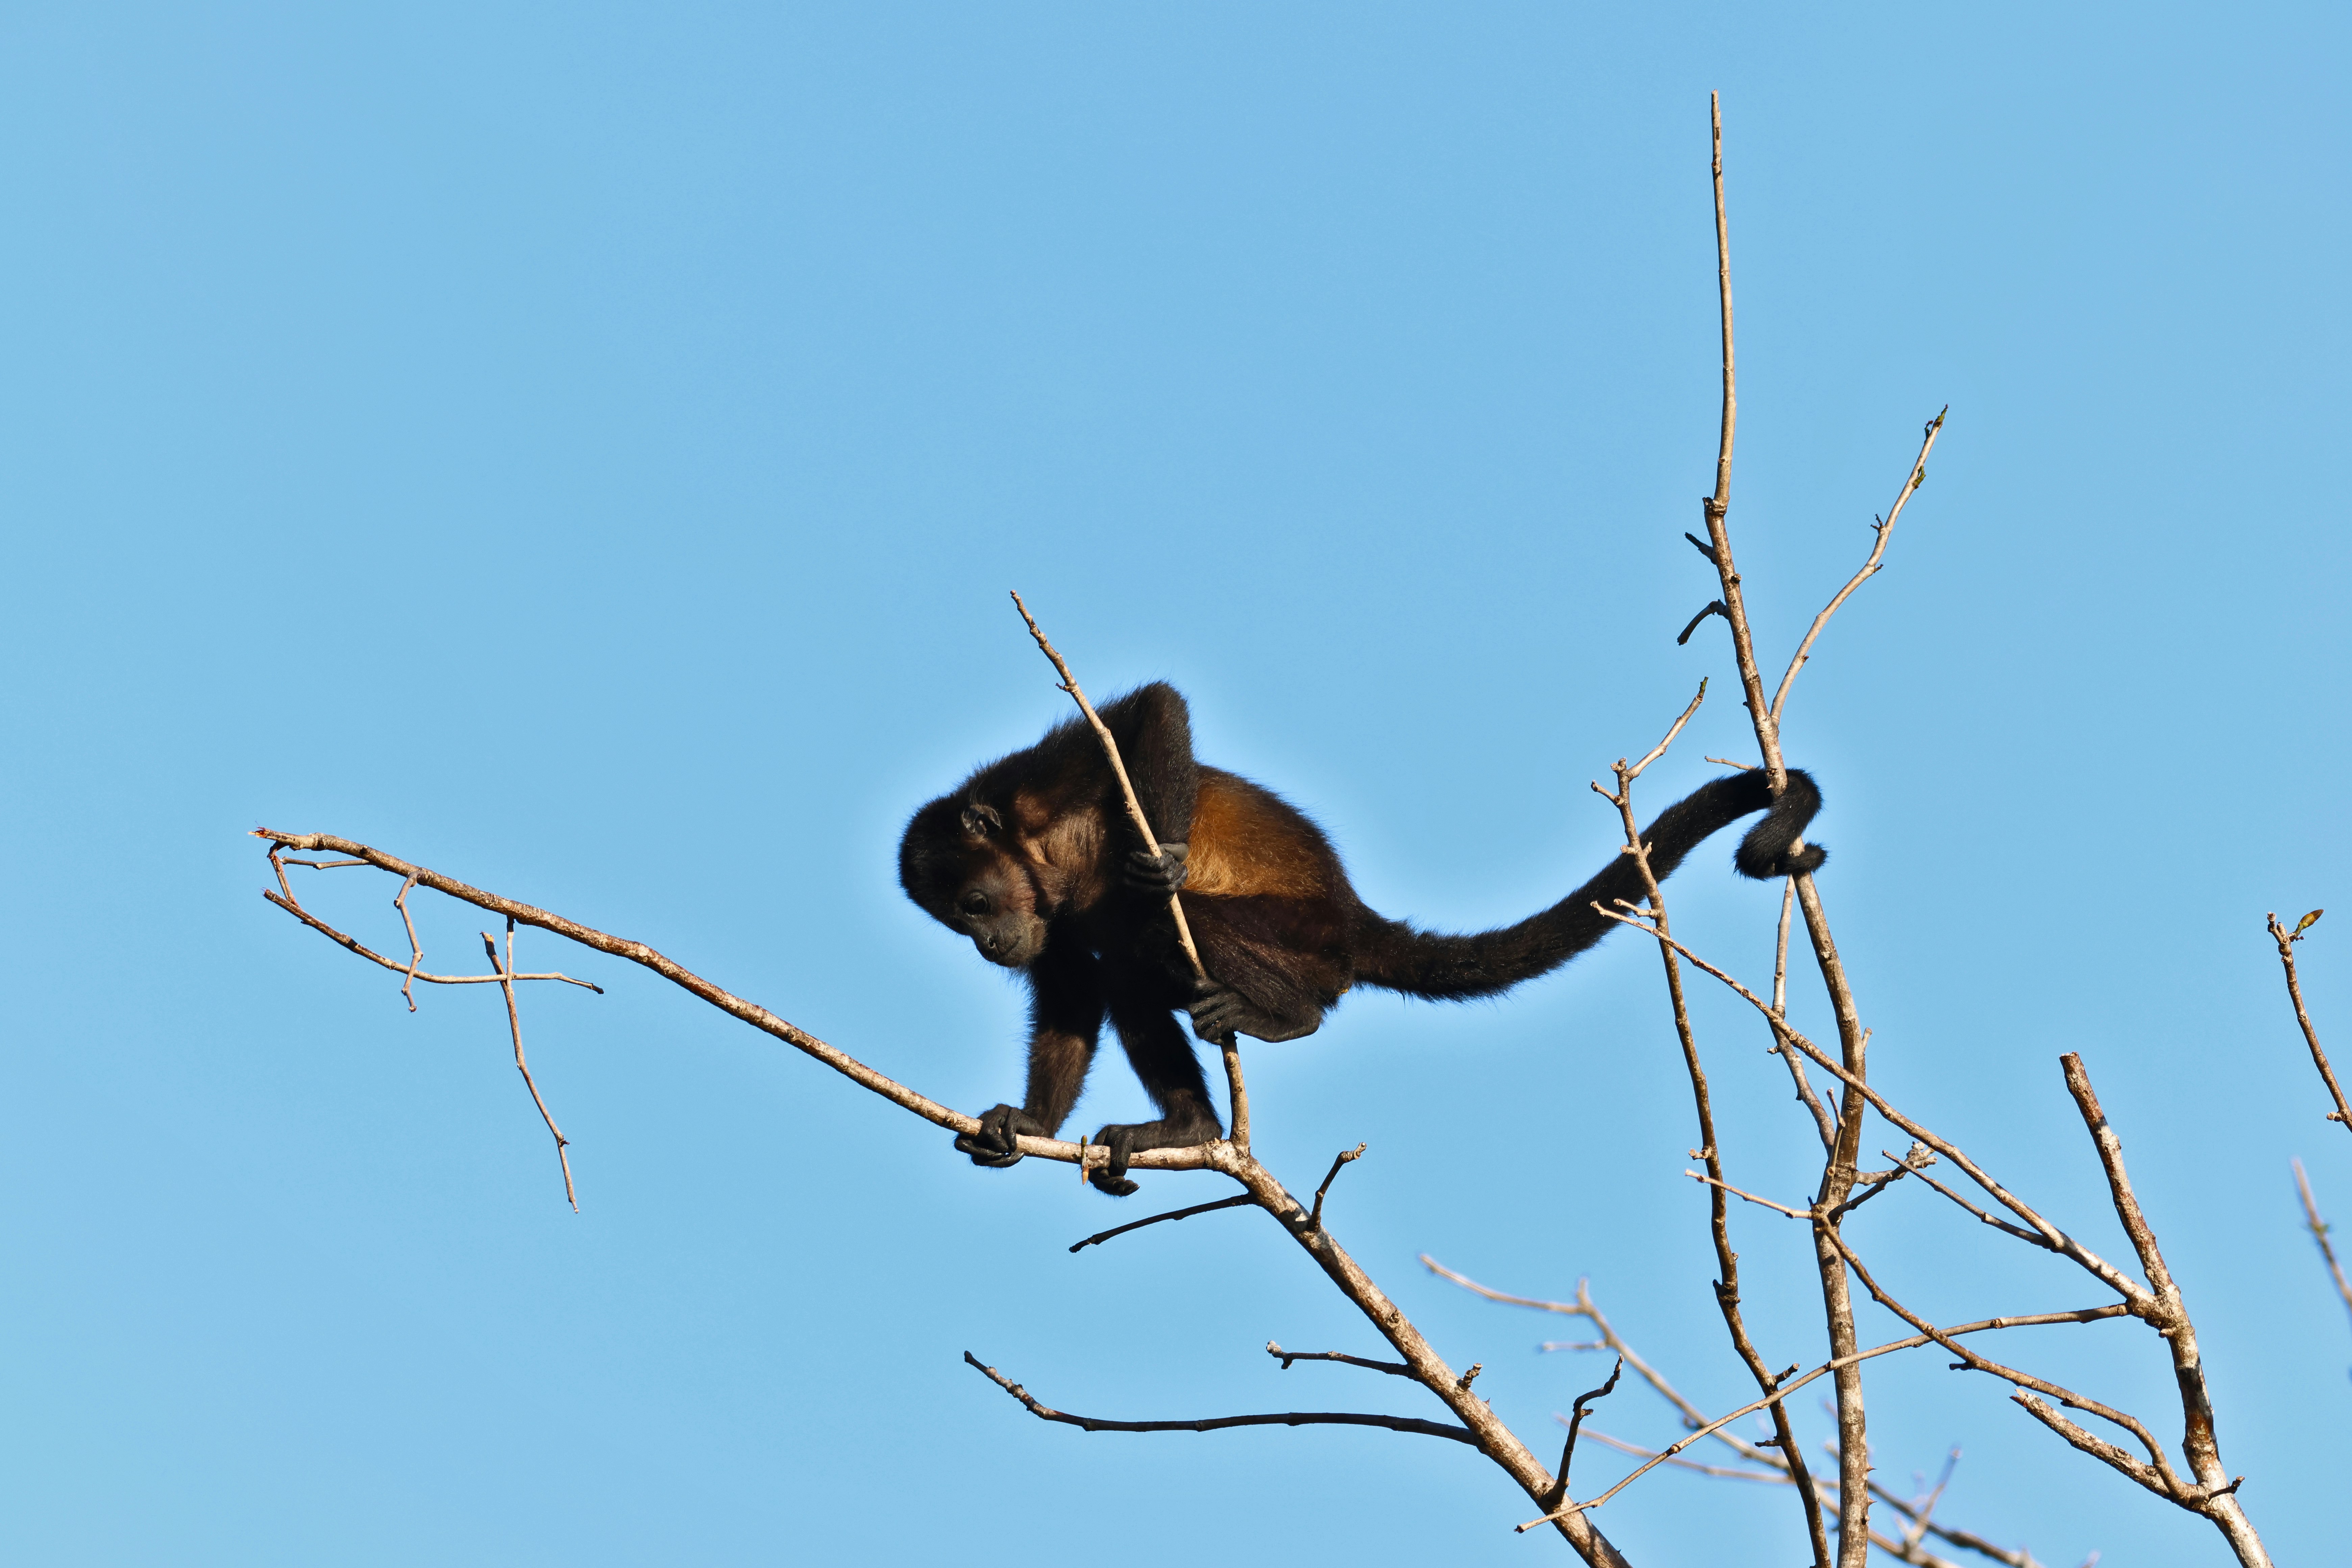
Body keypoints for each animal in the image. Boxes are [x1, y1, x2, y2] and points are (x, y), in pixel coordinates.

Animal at [898, 682, 1822, 1195]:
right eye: (956, 920)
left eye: (976, 900)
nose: (987, 944)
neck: (1041, 858)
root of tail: (1352, 916)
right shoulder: (1042, 920)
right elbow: (1069, 994)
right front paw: (1027, 1120)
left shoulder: (1039, 782)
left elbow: (1150, 710)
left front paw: (1160, 852)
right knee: (1127, 973)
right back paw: (1190, 1127)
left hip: (1300, 936)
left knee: (1154, 927)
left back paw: (1282, 1015)